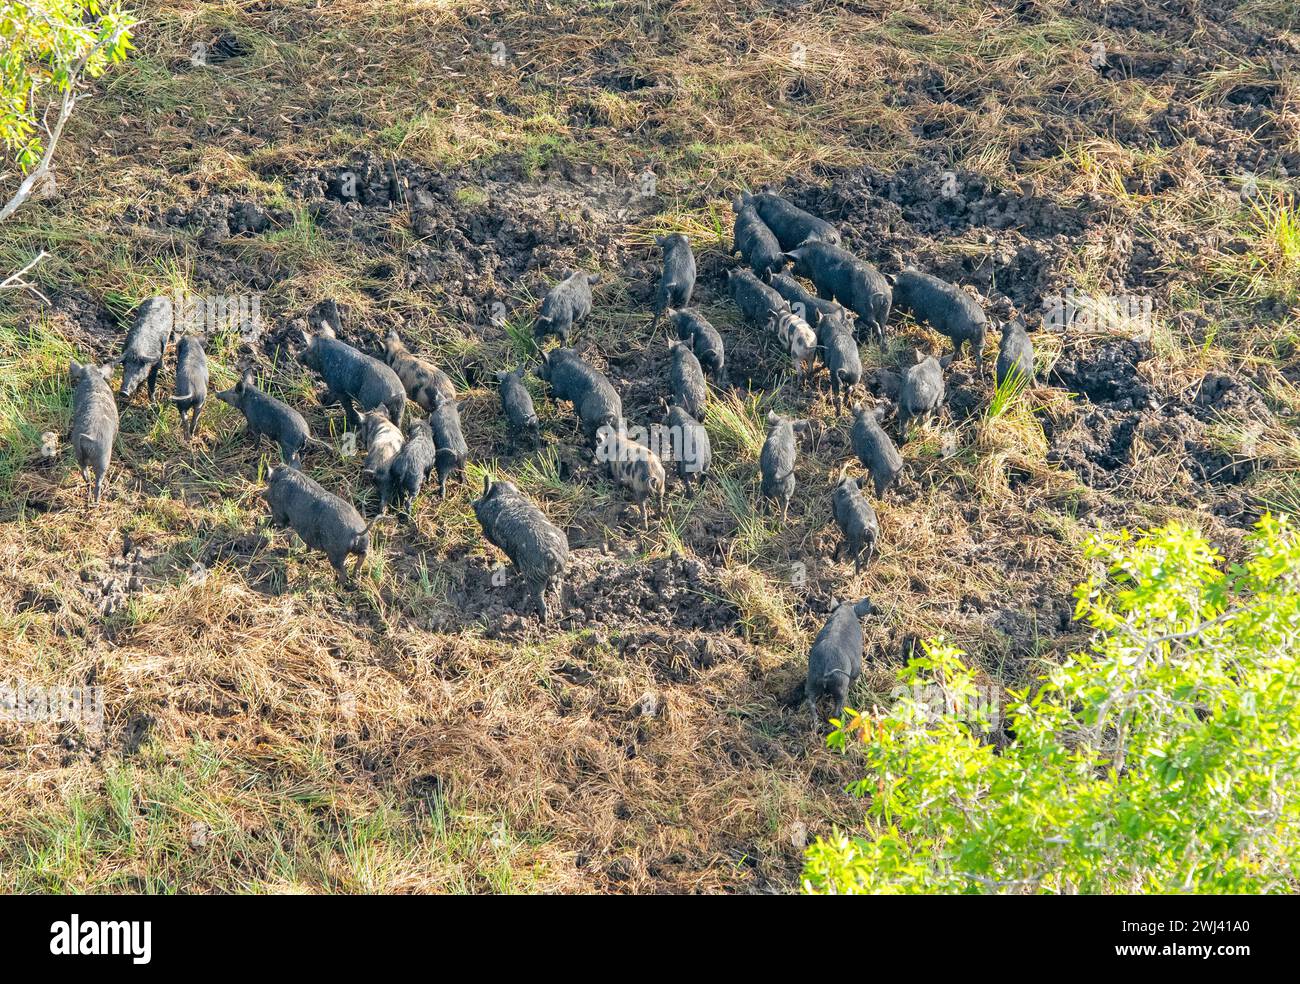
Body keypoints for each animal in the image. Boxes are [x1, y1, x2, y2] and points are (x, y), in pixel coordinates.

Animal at [68, 360, 118, 505]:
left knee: (85, 474)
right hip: (103, 458)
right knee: (98, 482)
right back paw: (96, 502)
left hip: (78, 453)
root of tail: (90, 436)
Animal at [473, 475, 570, 622]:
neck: (505, 494)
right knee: (557, 588)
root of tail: (553, 556)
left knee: (539, 599)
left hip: (533, 576)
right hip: (559, 574)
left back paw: (543, 620)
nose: (472, 503)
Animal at [805, 597, 874, 729]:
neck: (846, 609)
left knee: (810, 701)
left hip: (812, 679)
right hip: (840, 684)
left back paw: (816, 726)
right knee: (837, 709)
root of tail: (826, 670)